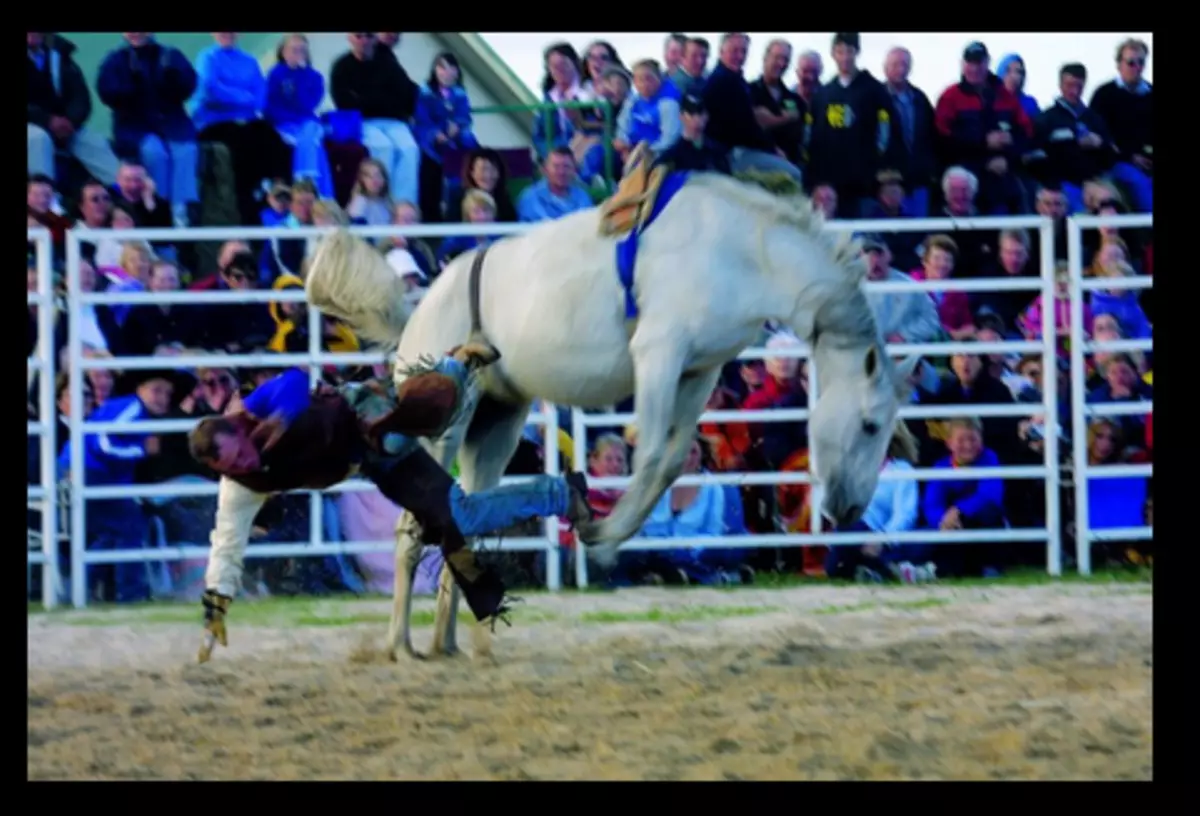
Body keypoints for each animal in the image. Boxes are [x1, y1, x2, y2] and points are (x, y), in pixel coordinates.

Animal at [307, 174, 916, 662]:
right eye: (869, 424)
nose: (849, 508)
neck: (744, 250)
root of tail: (420, 309)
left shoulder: (700, 370)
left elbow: (671, 459)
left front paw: (599, 529)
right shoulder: (658, 353)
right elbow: (650, 459)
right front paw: (600, 539)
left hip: (496, 423)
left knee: (460, 515)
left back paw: (452, 643)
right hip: (442, 420)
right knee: (414, 523)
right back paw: (401, 645)